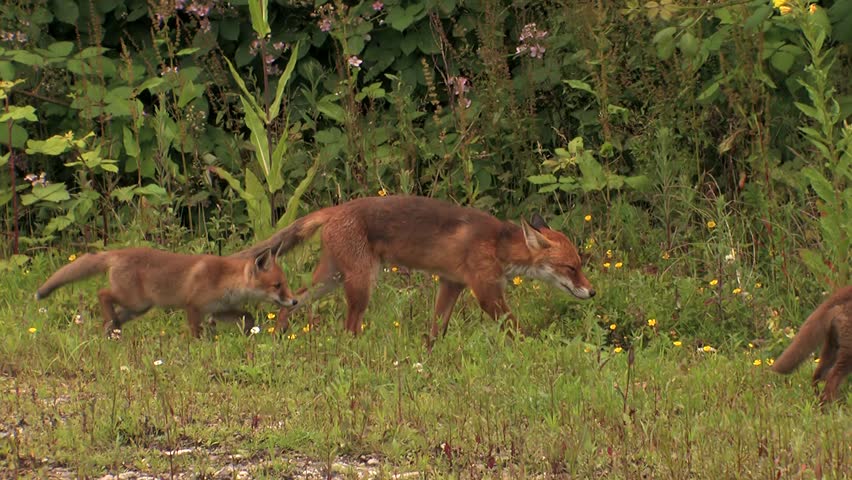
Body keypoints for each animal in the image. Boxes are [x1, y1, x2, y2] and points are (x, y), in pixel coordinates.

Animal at [36, 247, 297, 338]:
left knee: (114, 314)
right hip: (134, 300)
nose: (294, 301)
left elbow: (248, 317)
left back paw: (112, 331)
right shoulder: (193, 306)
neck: (224, 280)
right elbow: (196, 332)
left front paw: (248, 334)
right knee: (102, 293)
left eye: (285, 283)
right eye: (277, 286)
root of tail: (117, 252)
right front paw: (200, 347)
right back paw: (110, 325)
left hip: (137, 308)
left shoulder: (219, 310)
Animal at [232, 195, 595, 345]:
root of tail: (336, 208)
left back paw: (280, 335)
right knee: (349, 328)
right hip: (362, 283)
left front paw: (429, 354)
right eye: (570, 267)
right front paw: (536, 348)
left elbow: (437, 329)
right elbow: (515, 328)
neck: (498, 244)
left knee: (294, 300)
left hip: (332, 279)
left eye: (580, 266)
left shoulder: (451, 284)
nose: (592, 292)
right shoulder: (486, 292)